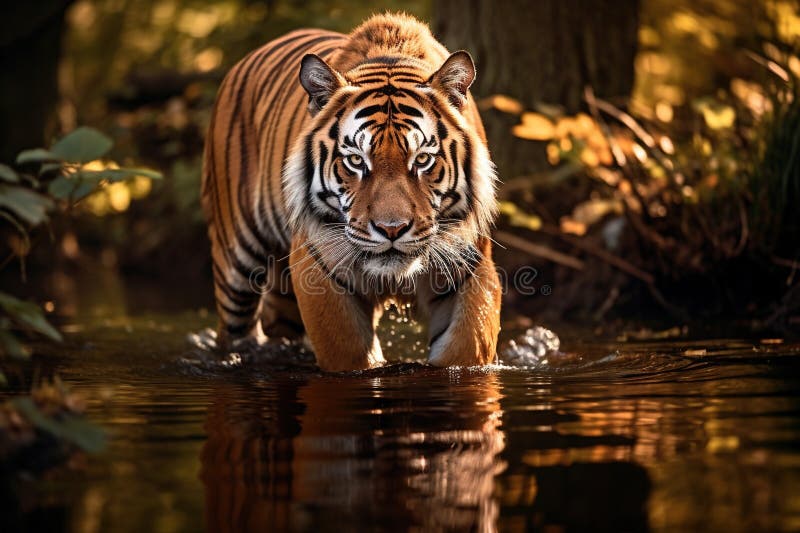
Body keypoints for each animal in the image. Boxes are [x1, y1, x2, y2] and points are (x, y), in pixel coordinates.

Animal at [201, 13, 501, 372]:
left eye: (422, 160)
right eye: (356, 160)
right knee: (235, 331)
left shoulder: (470, 267)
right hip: (235, 264)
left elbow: (465, 347)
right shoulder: (318, 269)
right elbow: (349, 351)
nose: (391, 229)